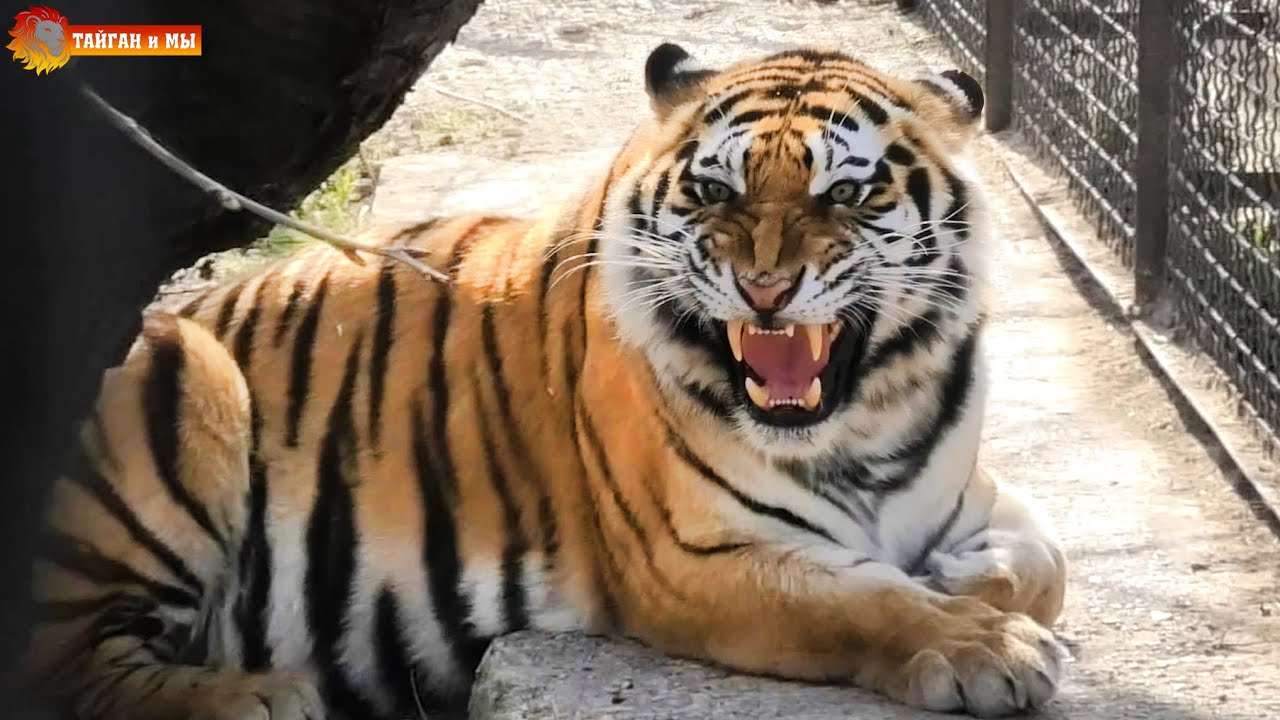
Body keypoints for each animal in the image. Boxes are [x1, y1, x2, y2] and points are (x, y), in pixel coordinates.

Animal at [25, 43, 1069, 720]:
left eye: (844, 194)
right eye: (716, 191)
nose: (765, 288)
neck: (864, 423)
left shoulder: (967, 489)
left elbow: (1044, 562)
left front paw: (971, 581)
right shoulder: (699, 559)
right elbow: (867, 604)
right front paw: (985, 648)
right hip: (186, 371)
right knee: (66, 666)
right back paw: (264, 696)